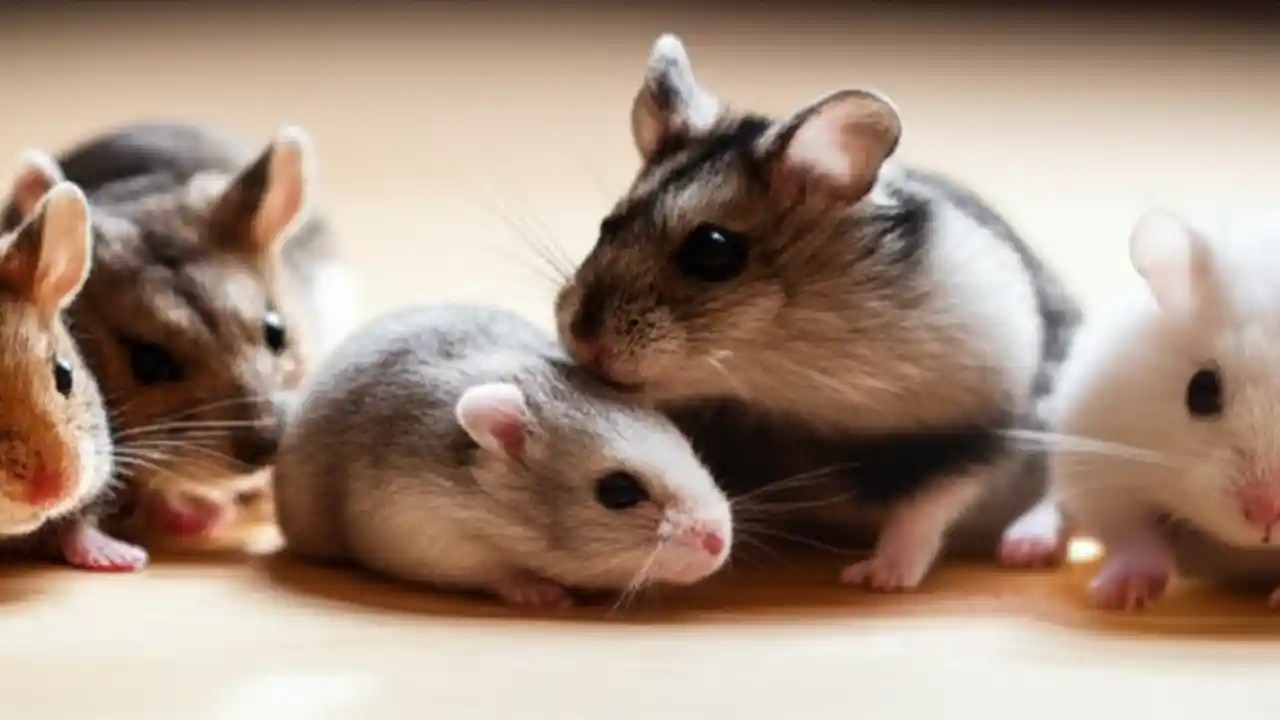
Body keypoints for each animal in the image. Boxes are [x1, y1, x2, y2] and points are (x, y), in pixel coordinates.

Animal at [274, 304, 732, 608]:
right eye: (618, 492)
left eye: (687, 446)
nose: (720, 544)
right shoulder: (423, 530)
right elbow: (497, 570)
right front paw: (544, 593)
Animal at [554, 34, 1080, 590]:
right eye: (606, 226)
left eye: (714, 250)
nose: (583, 339)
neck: (782, 379)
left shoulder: (982, 429)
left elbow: (927, 505)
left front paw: (875, 579)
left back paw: (1024, 548)